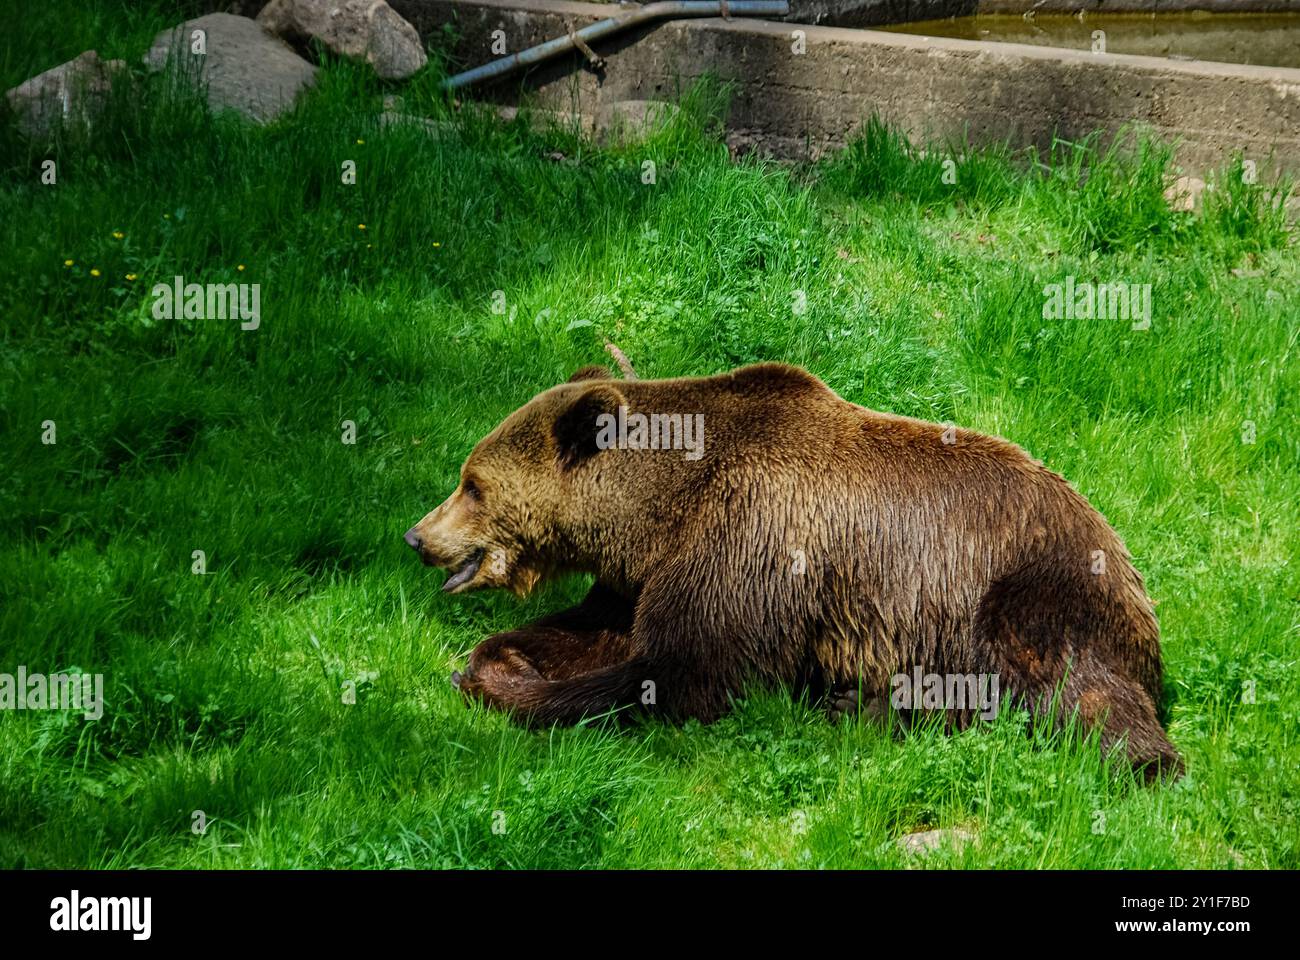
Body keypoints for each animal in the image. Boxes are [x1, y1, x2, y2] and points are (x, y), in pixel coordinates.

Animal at [404, 363, 1182, 781]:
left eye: (473, 485)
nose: (417, 536)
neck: (660, 508)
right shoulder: (644, 572)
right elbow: (595, 629)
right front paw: (499, 657)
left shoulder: (754, 543)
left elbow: (685, 670)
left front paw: (510, 688)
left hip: (1026, 590)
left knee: (1069, 697)